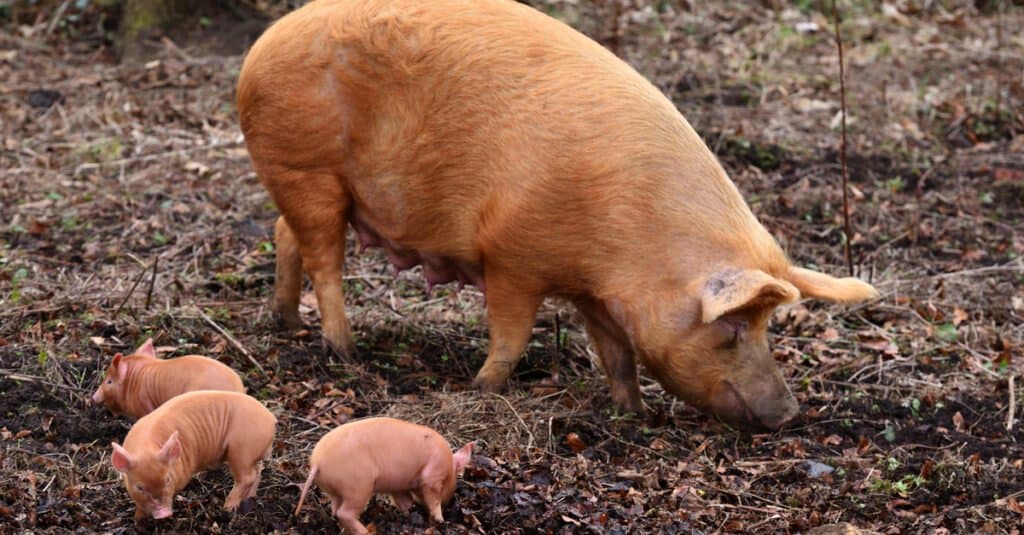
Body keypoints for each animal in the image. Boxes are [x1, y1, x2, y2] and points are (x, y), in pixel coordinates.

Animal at [110, 390, 276, 521]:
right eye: (139, 487)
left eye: (168, 479)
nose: (164, 513)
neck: (146, 447)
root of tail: (270, 418)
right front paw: (137, 520)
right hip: (251, 454)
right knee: (258, 471)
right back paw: (249, 499)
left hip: (242, 450)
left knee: (246, 477)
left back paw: (227, 509)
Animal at [236, 0, 879, 430]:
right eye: (733, 328)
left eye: (767, 327)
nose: (790, 414)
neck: (629, 243)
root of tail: (261, 46)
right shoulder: (512, 259)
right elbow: (512, 336)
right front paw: (482, 388)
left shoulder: (598, 294)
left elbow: (617, 353)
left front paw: (635, 415)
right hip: (306, 169)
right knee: (325, 260)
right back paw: (344, 351)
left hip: (316, 188)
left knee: (284, 234)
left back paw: (284, 322)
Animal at [294, 417, 474, 534]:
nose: (449, 502)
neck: (448, 464)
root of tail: (317, 462)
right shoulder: (432, 477)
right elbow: (433, 498)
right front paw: (440, 520)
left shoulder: (398, 485)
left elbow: (404, 501)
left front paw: (409, 513)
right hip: (358, 486)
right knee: (345, 513)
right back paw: (367, 532)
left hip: (337, 490)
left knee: (336, 511)